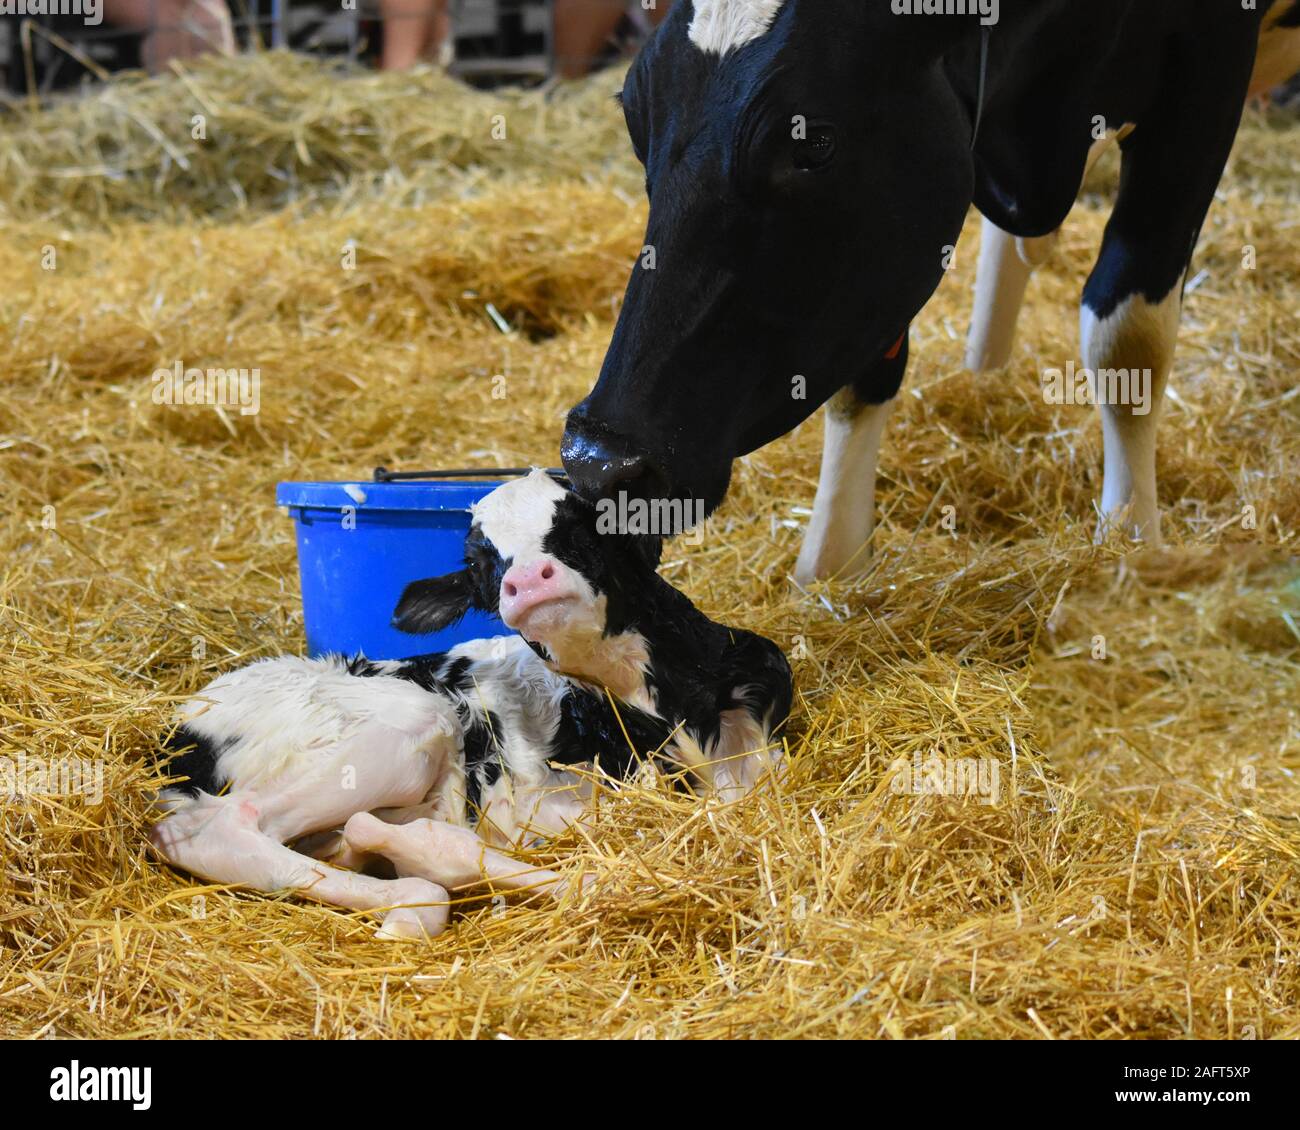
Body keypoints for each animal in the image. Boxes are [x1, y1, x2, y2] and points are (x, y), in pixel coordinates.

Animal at [560, 0, 1300, 582]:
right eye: (634, 117)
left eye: (814, 142)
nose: (600, 460)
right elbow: (867, 370)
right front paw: (833, 564)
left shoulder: (1206, 77)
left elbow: (1127, 338)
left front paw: (1131, 543)